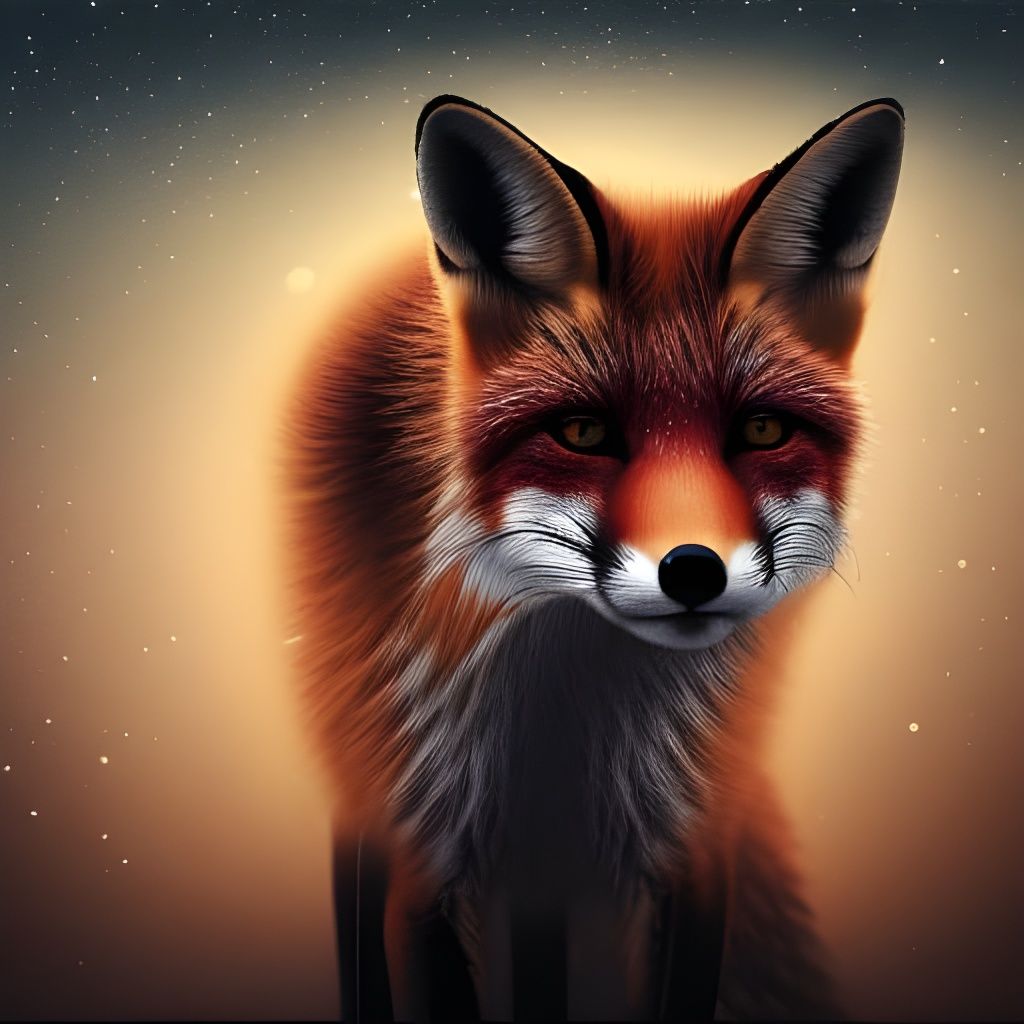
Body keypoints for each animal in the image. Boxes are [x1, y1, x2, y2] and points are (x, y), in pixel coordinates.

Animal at [284, 94, 904, 1021]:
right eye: (583, 432)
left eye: (761, 429)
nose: (694, 571)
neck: (564, 705)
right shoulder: (421, 848)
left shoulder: (691, 842)